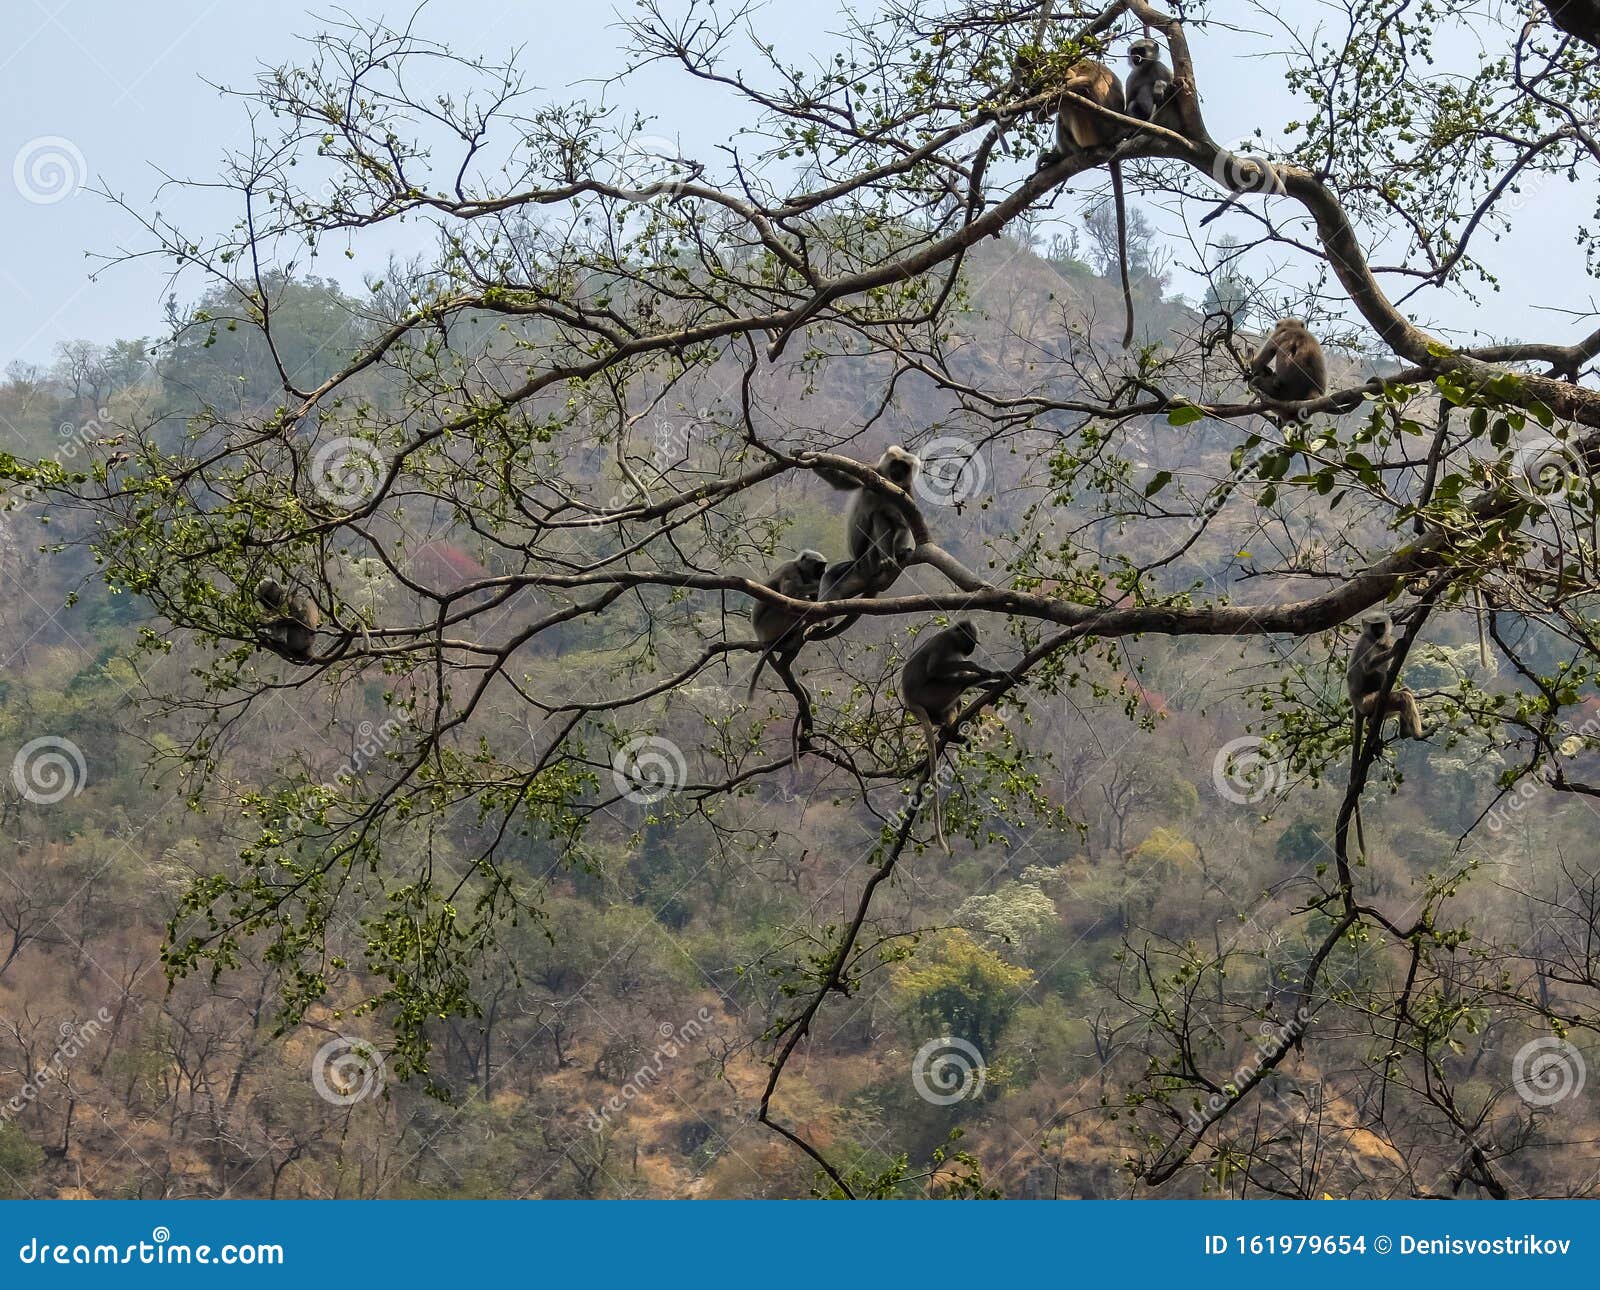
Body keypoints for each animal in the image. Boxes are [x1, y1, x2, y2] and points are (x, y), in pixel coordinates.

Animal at [899, 620, 1010, 853]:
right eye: (969, 640)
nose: (972, 649)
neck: (952, 639)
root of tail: (911, 701)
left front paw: (994, 677)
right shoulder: (943, 643)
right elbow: (935, 669)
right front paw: (978, 668)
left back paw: (949, 731)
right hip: (931, 695)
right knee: (956, 682)